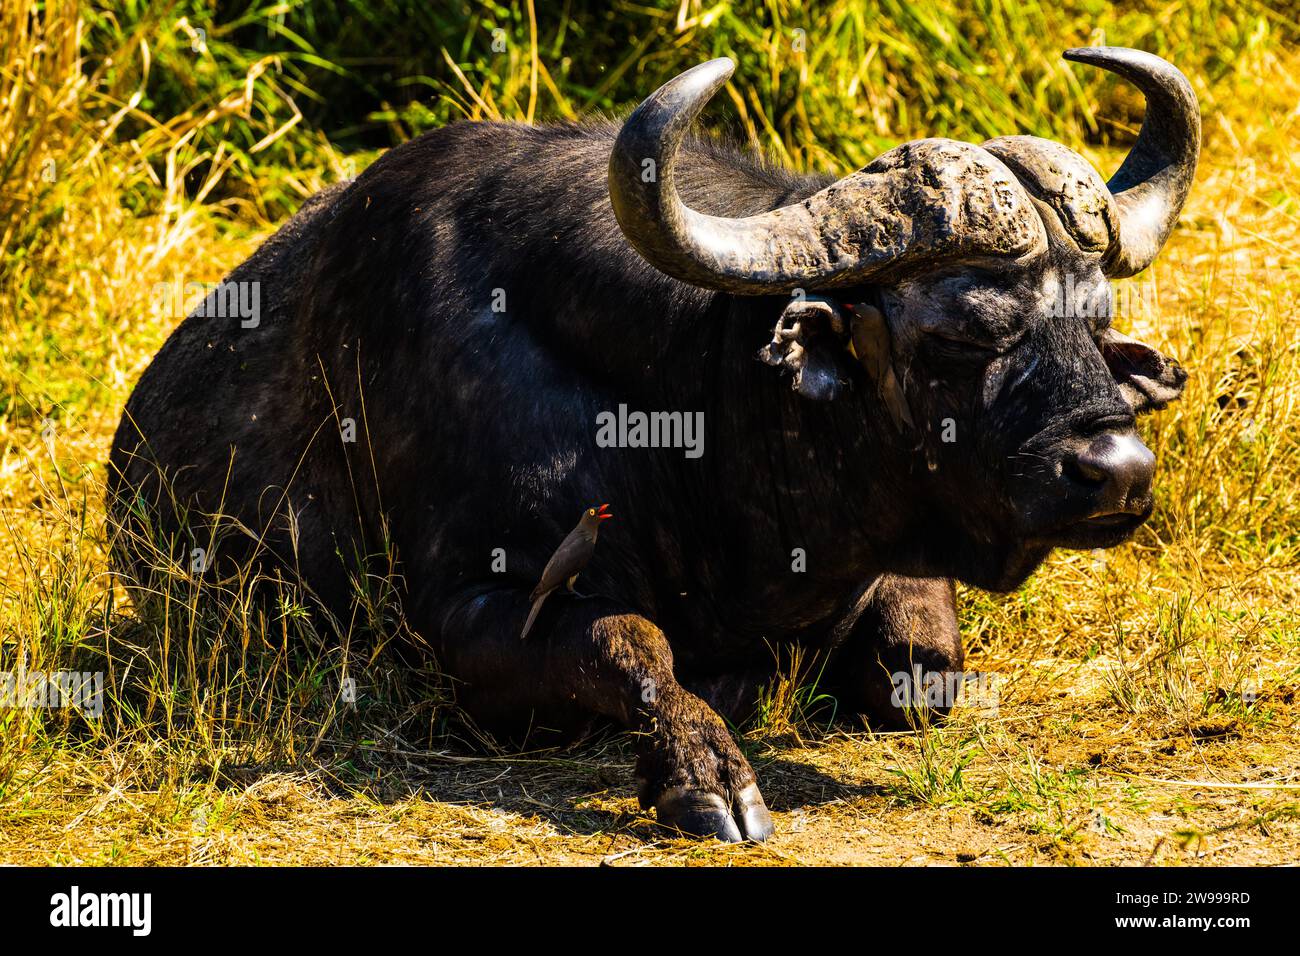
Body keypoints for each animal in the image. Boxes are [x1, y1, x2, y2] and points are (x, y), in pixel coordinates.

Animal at [110, 47, 1198, 841]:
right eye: (963, 331)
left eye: (1094, 320)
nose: (1115, 471)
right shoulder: (463, 612)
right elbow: (628, 640)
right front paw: (706, 769)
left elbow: (920, 659)